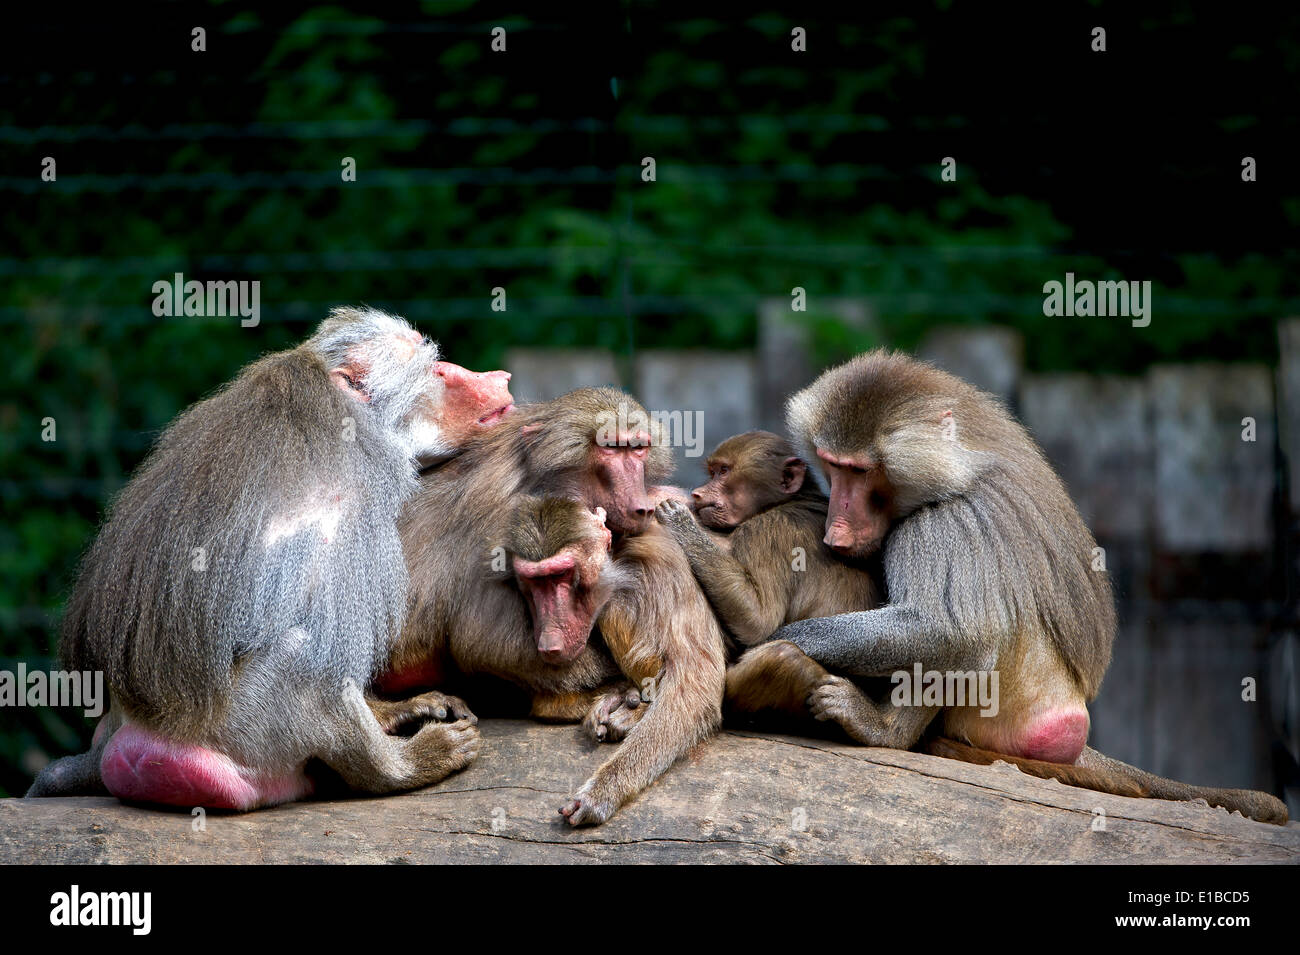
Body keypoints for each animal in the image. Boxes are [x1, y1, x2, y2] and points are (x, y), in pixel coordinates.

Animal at [27, 307, 514, 811]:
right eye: (437, 371)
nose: (500, 377)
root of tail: (124, 727)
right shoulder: (350, 502)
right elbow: (324, 656)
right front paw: (398, 761)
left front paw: (392, 709)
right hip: (242, 728)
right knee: (303, 657)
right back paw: (404, 766)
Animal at [503, 495, 727, 825]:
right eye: (535, 581)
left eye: (561, 575)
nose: (550, 633)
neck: (620, 554)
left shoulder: (662, 564)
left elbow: (696, 679)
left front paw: (605, 790)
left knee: (618, 602)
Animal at [652, 430, 881, 718]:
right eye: (713, 471)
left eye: (723, 471)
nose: (697, 493)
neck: (792, 499)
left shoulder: (763, 530)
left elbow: (757, 621)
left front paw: (681, 523)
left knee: (784, 656)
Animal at [746, 349, 1287, 824]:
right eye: (831, 465)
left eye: (860, 471)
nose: (835, 531)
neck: (954, 465)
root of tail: (1076, 716)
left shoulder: (947, 521)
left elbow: (949, 633)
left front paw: (773, 644)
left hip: (1019, 702)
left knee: (969, 635)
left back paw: (880, 730)